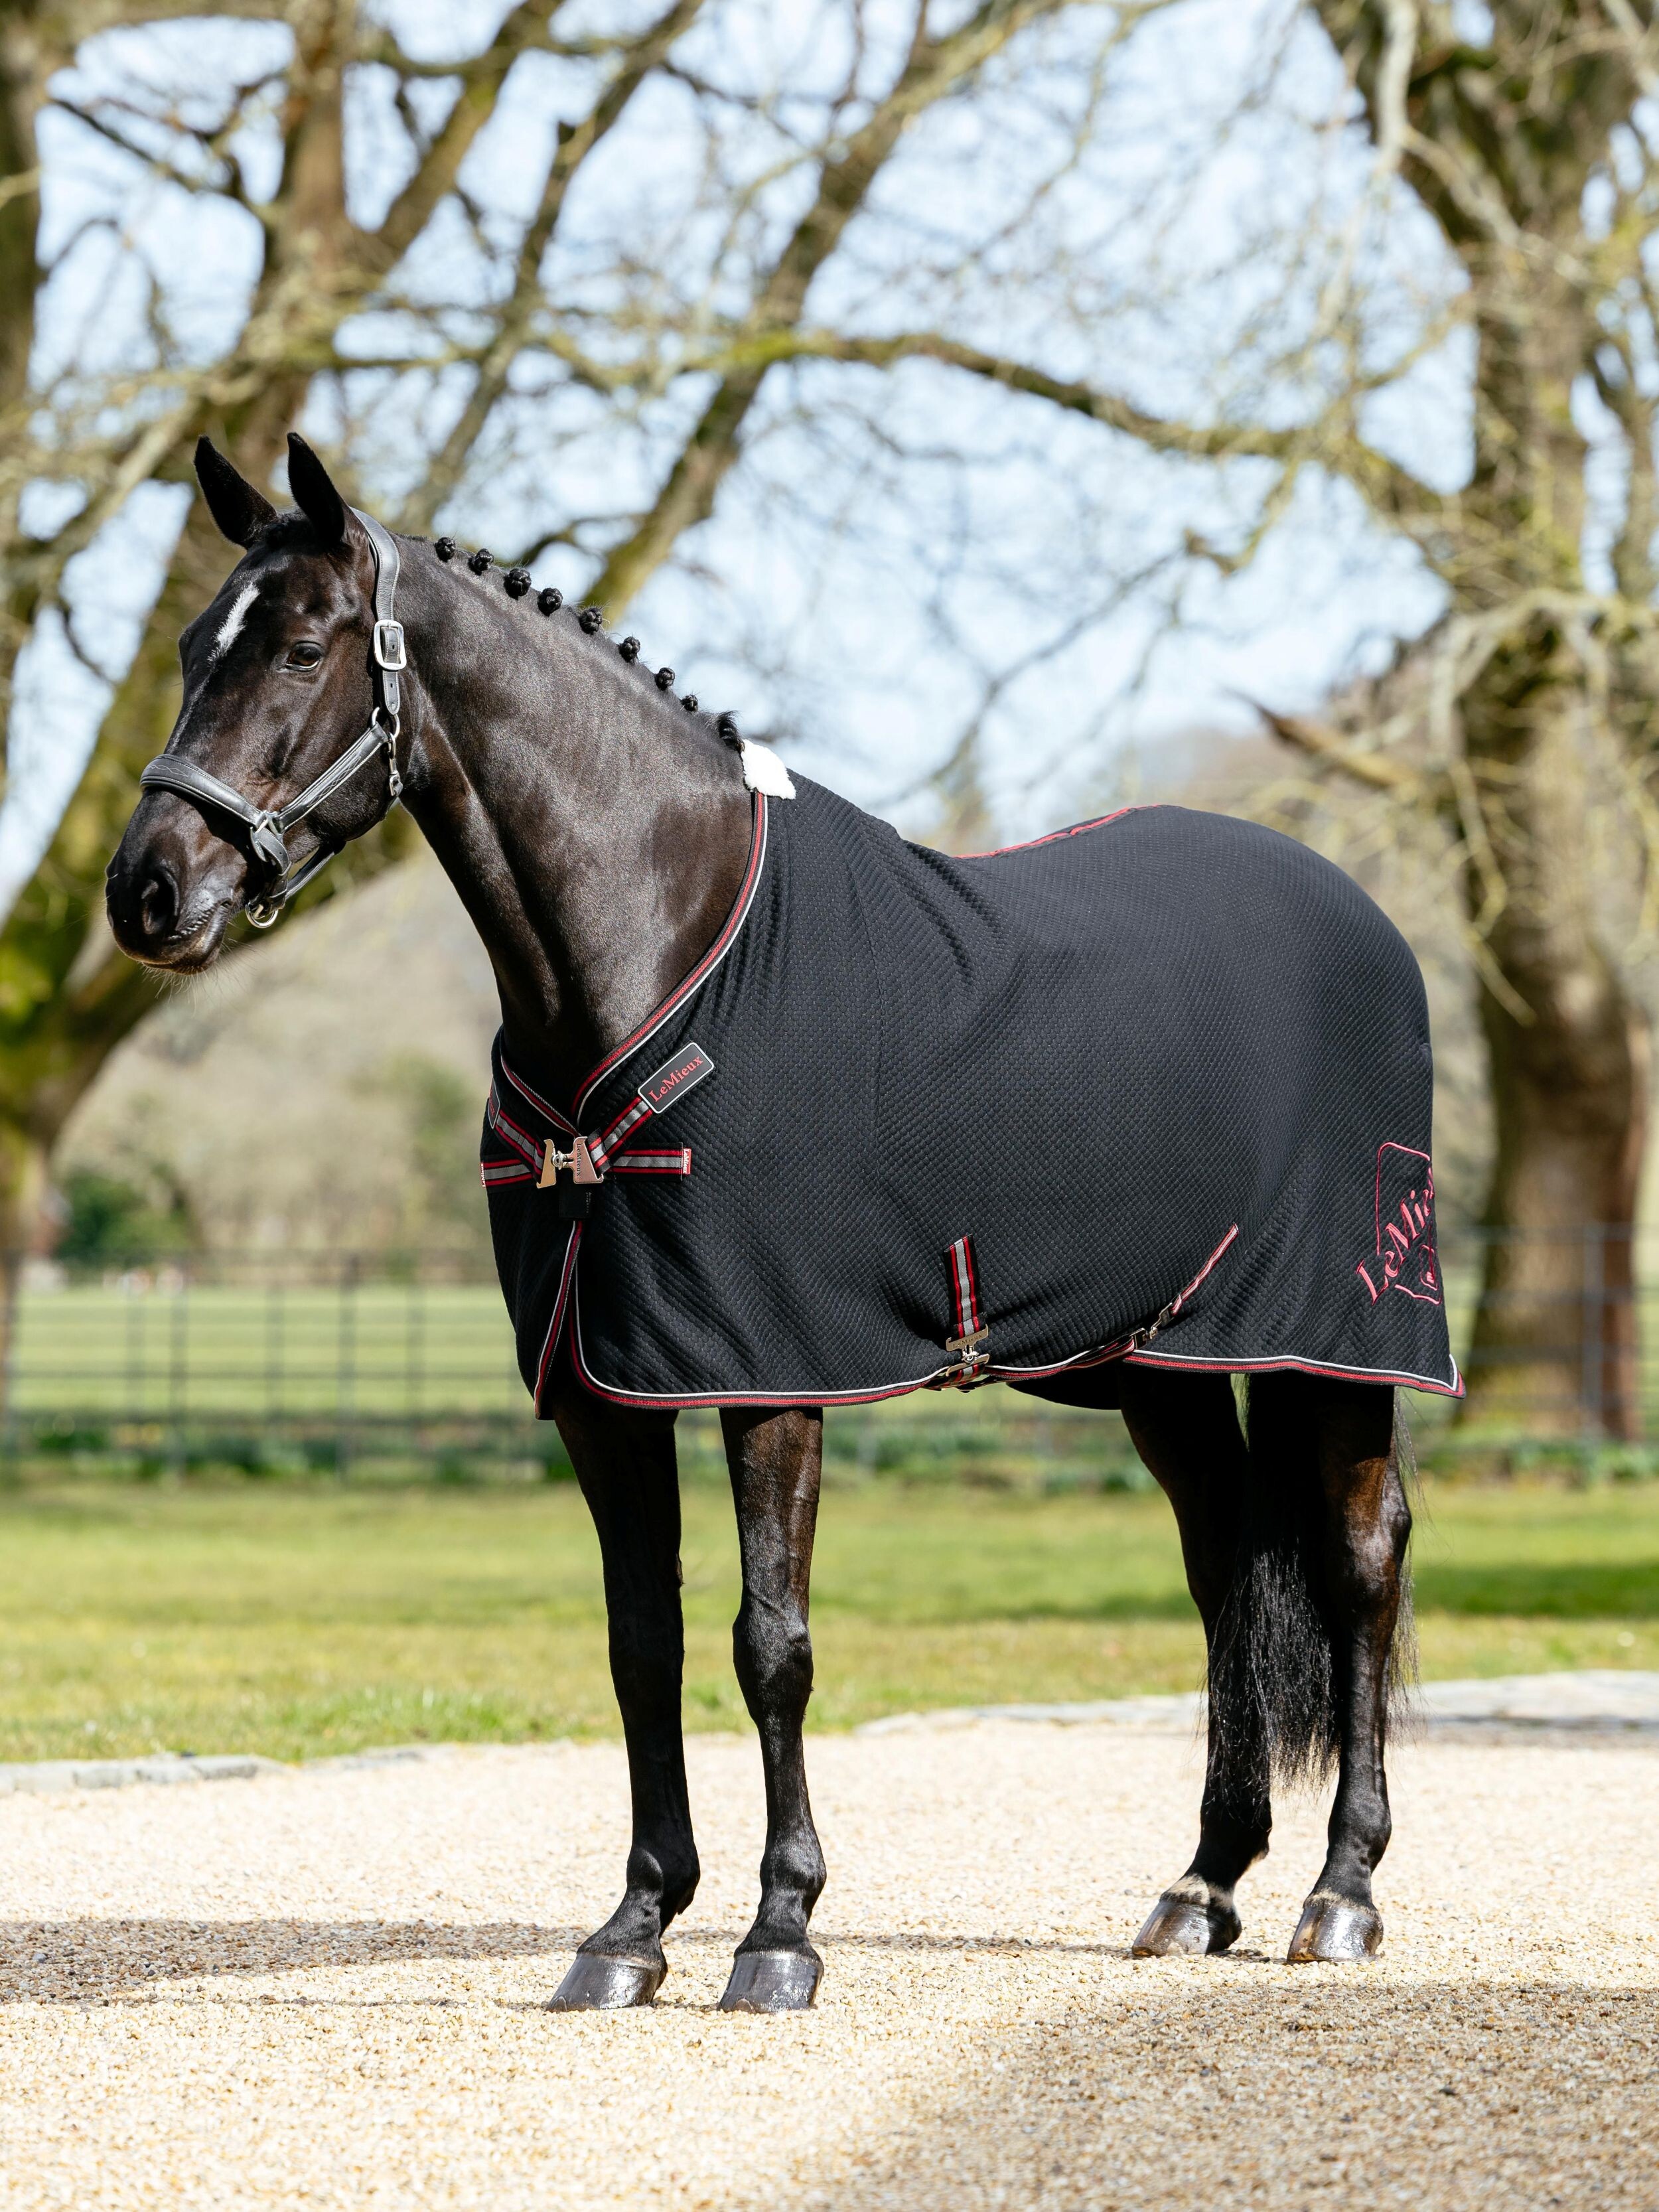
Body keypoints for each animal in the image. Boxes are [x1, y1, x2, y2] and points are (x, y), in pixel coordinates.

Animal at [106, 432, 1449, 2013]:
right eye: (192, 647)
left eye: (304, 647)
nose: (145, 891)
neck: (660, 950)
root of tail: (1362, 914)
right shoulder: (601, 1388)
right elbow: (642, 1641)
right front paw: (631, 1929)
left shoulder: (770, 1373)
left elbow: (771, 1644)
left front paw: (778, 1929)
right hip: (1156, 1366)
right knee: (1224, 1562)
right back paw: (1203, 1883)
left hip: (1339, 1337)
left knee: (1359, 1563)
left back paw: (1339, 1890)